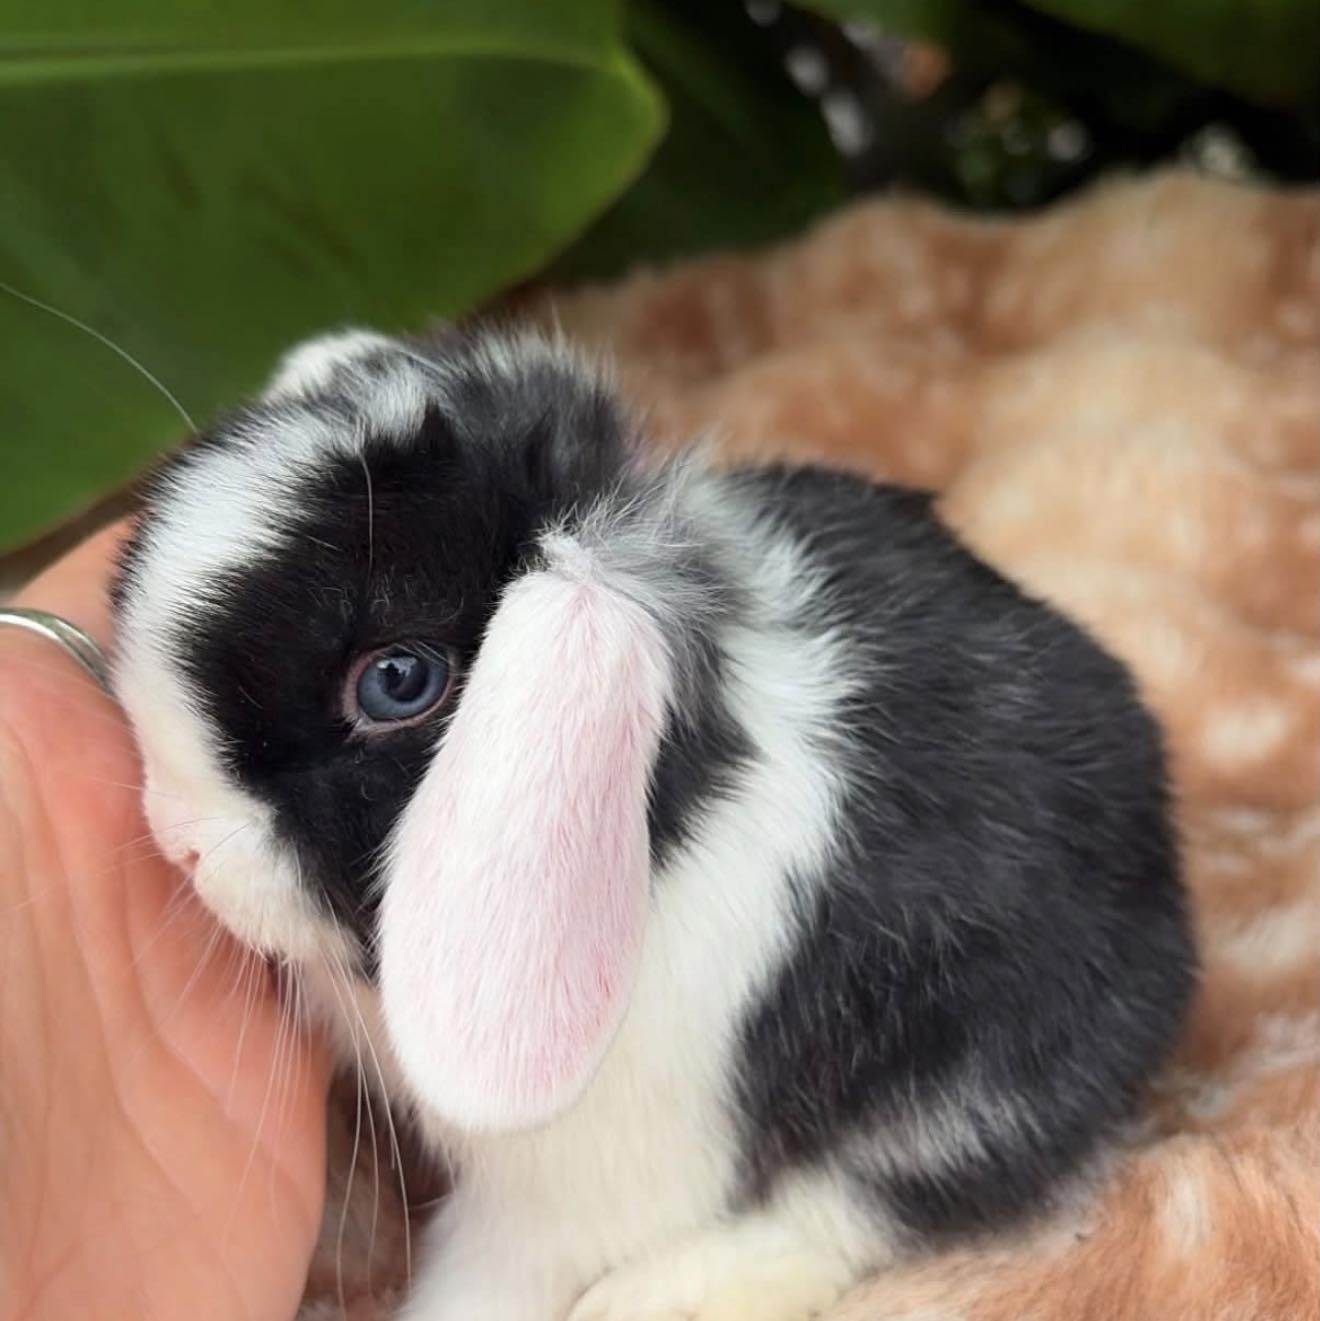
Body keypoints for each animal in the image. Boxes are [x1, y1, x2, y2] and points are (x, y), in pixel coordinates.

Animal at [110, 325, 1195, 1321]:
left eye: (398, 680)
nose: (179, 837)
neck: (670, 816)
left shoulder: (570, 1198)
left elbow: (486, 1284)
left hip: (971, 1091)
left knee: (861, 1208)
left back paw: (658, 1295)